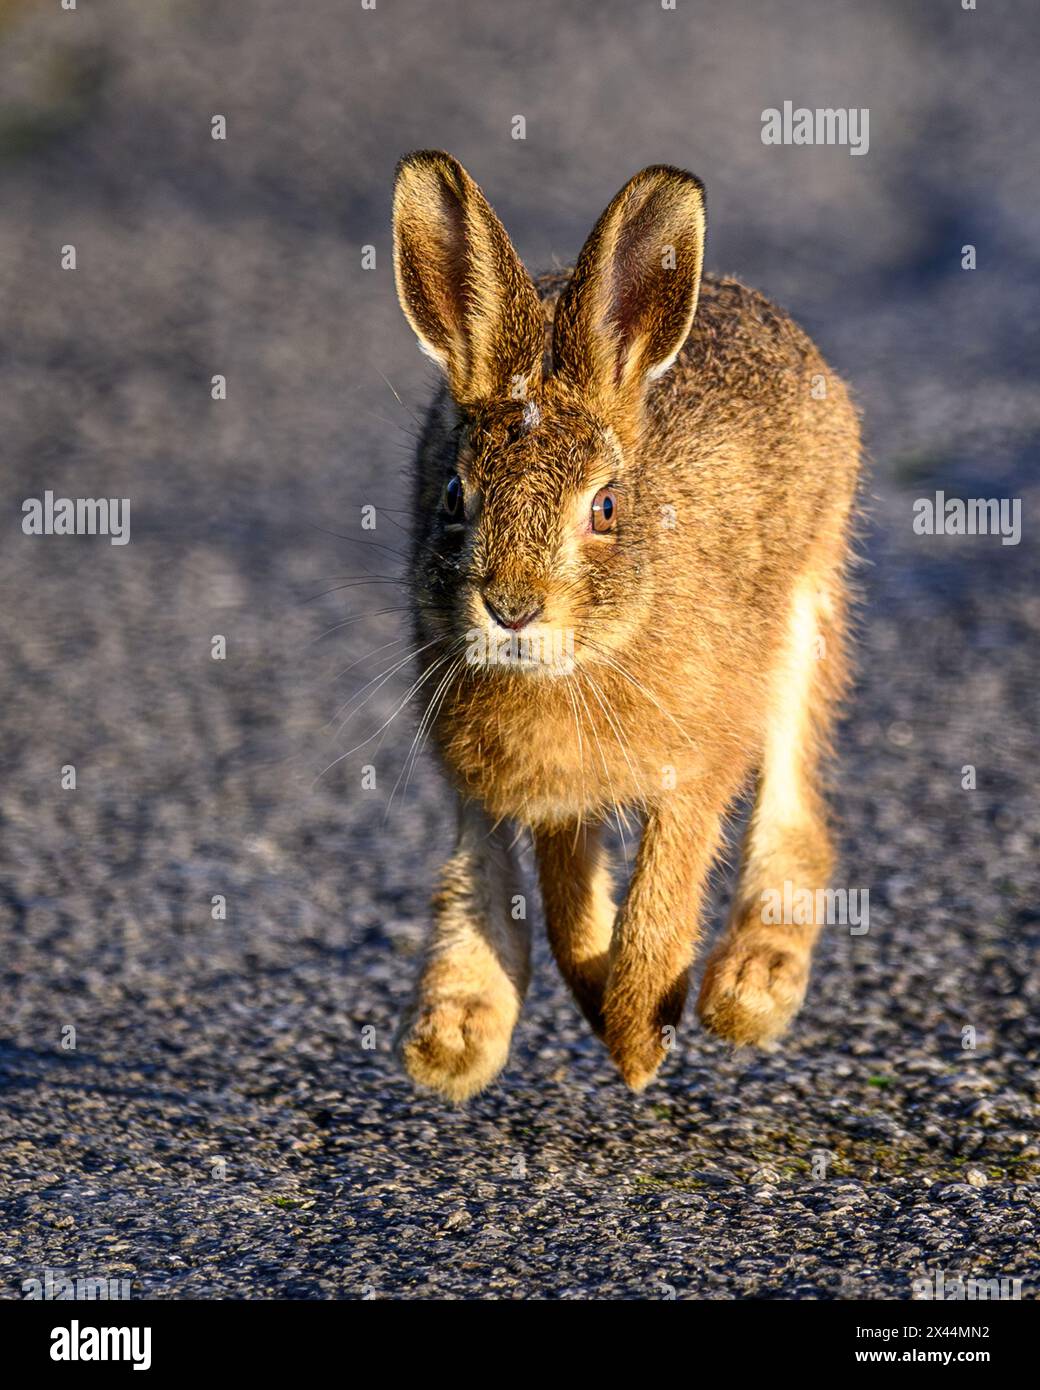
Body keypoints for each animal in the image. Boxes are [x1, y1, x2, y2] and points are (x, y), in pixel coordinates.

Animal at [390, 150, 860, 1100]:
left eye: (604, 508)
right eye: (454, 497)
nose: (512, 606)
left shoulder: (700, 763)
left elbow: (661, 897)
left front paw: (641, 1040)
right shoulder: (546, 798)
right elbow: (569, 911)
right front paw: (609, 1012)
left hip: (808, 610)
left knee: (796, 808)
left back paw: (747, 991)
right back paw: (454, 1037)